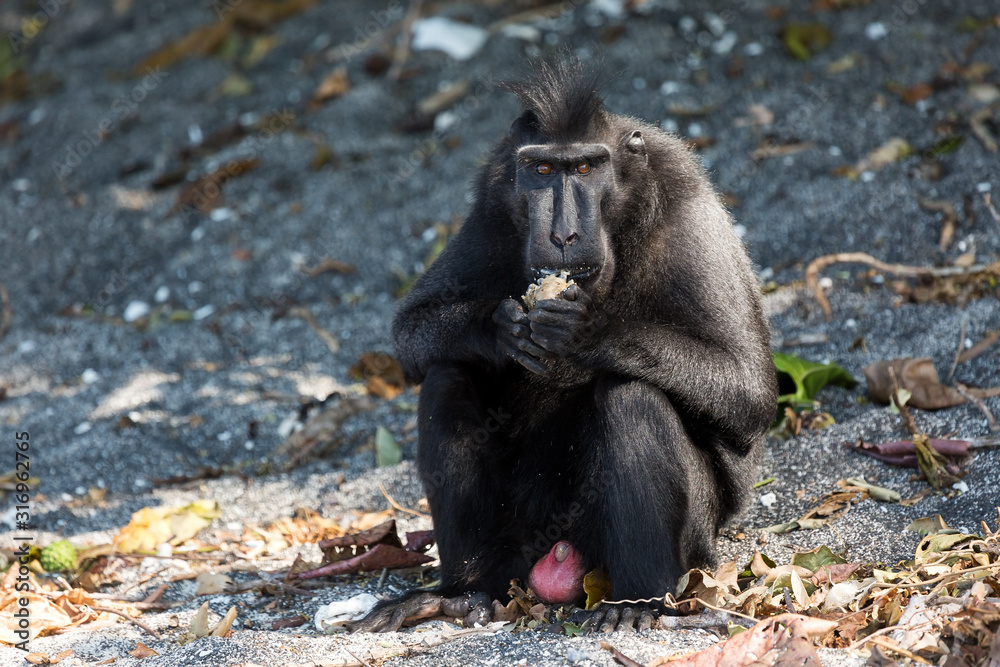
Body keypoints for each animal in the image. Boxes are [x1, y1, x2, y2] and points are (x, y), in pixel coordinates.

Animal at [353, 60, 776, 633]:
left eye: (583, 168)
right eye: (542, 170)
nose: (562, 235)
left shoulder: (690, 216)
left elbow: (750, 390)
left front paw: (586, 333)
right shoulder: (493, 210)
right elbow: (411, 332)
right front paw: (501, 328)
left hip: (689, 545)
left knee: (631, 395)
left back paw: (637, 602)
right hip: (519, 534)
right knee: (449, 375)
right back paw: (464, 590)